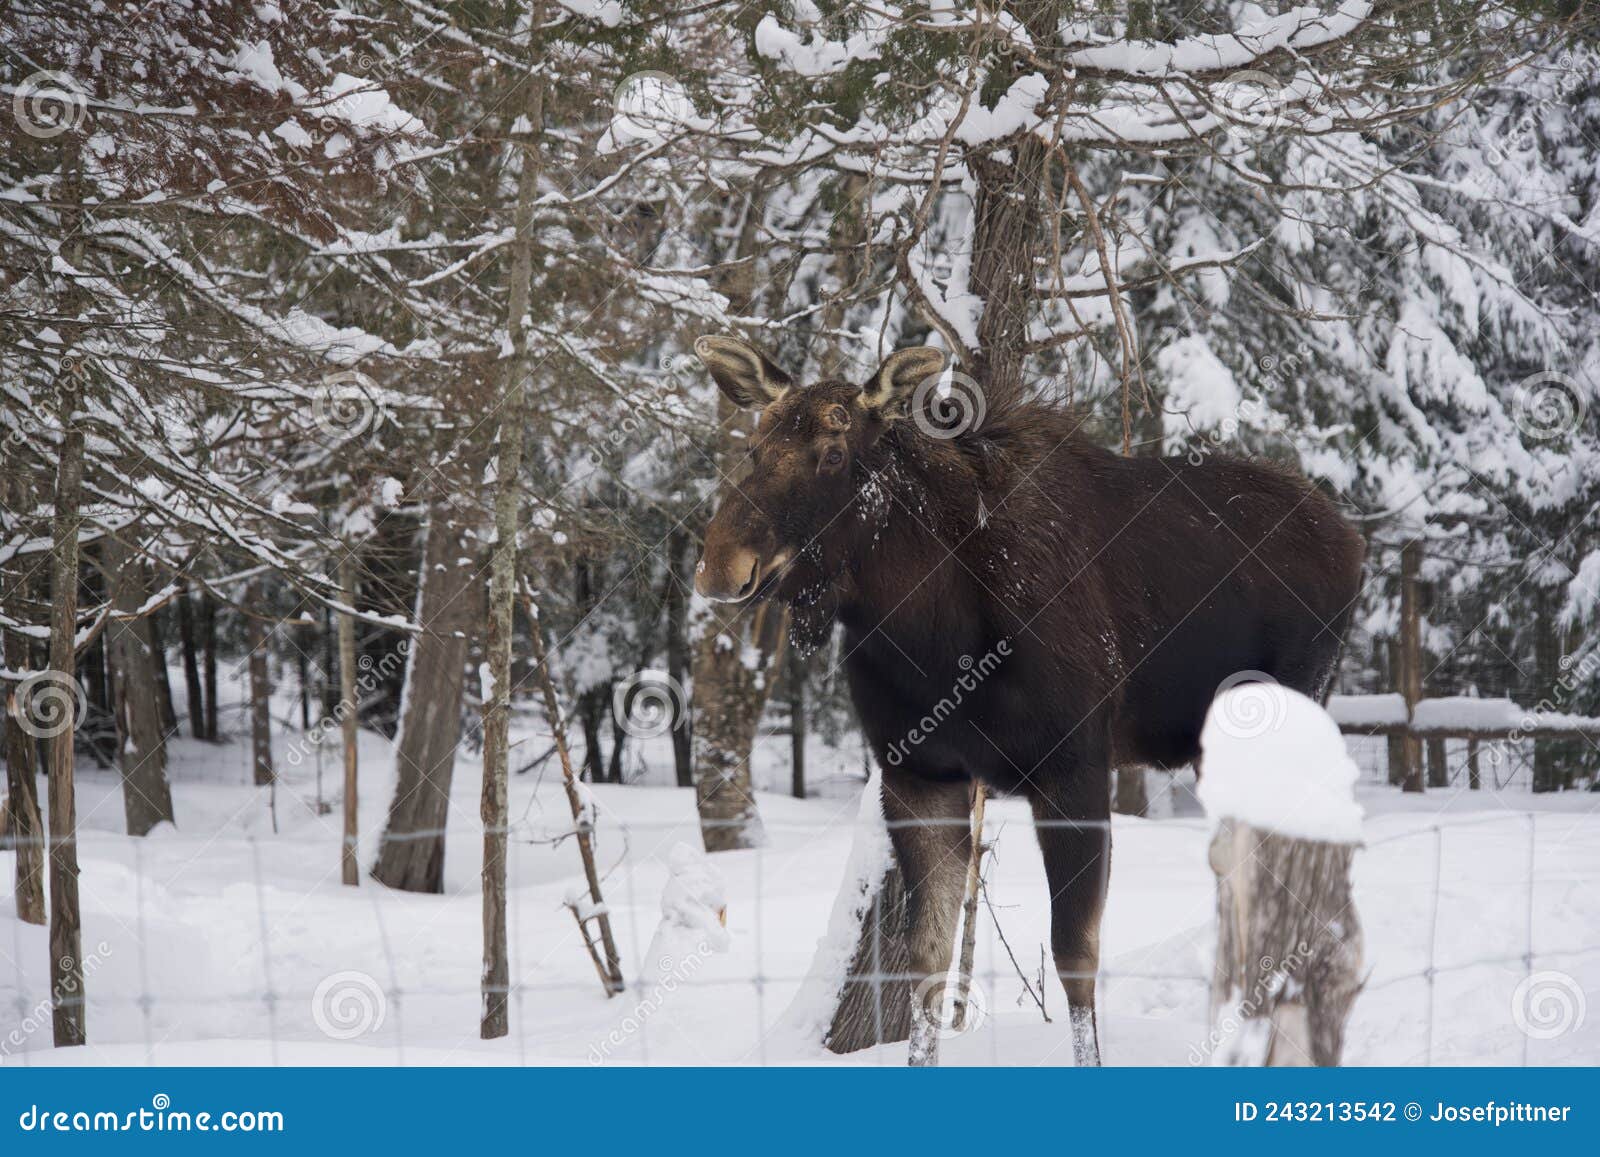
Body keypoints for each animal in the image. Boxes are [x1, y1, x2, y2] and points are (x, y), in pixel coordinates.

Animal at [690, 335, 1367, 1066]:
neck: (928, 631)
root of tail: (1355, 543)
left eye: (835, 453)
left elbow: (1076, 957)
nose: (720, 567)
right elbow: (929, 958)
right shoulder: (917, 774)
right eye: (754, 447)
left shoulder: (1073, 769)